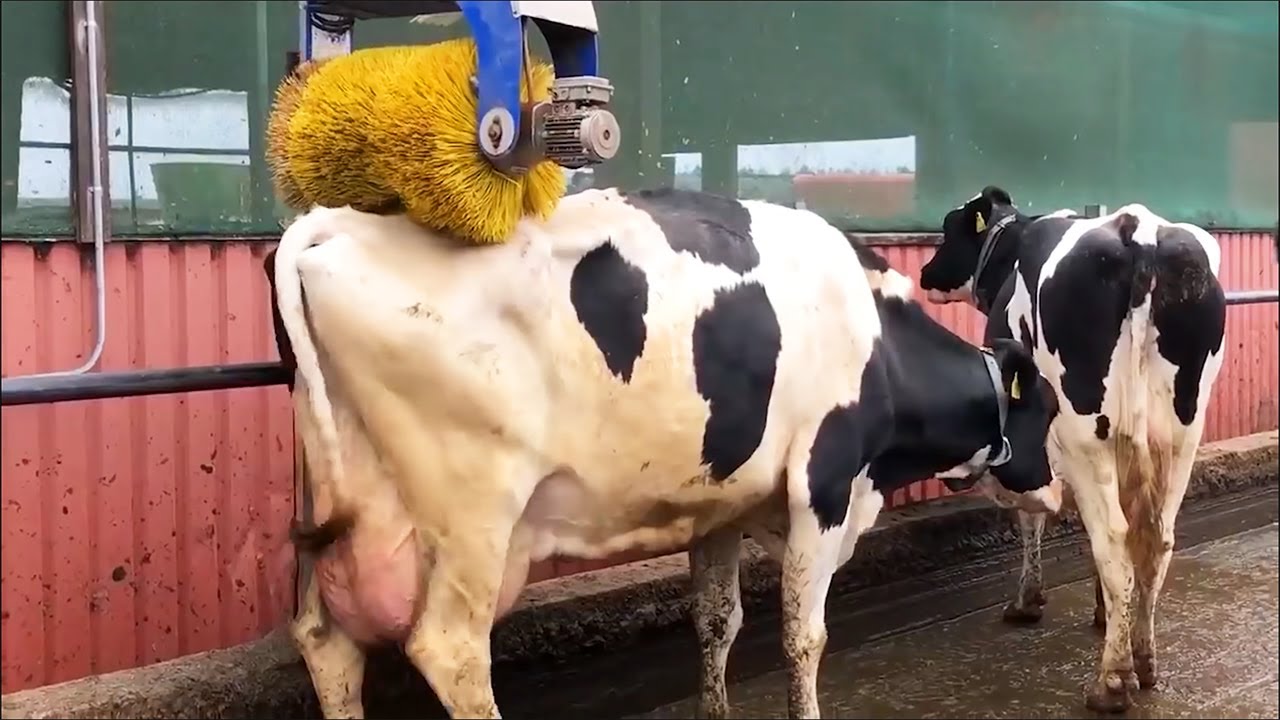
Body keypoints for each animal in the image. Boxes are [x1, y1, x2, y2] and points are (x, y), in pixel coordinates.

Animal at [265, 187, 1061, 719]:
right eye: (1044, 410)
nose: (1054, 491)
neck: (877, 341)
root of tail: (335, 225)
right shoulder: (823, 484)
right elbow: (804, 636)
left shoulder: (721, 506)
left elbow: (716, 623)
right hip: (473, 514)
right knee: (450, 649)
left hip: (352, 509)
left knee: (327, 645)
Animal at [919, 186, 1226, 713]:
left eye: (947, 227)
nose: (923, 273)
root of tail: (1139, 230)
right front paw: (1105, 615)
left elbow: (1031, 517)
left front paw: (1028, 602)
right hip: (1182, 430)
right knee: (1155, 537)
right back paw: (1143, 660)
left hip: (1084, 431)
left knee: (1115, 537)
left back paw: (1111, 683)